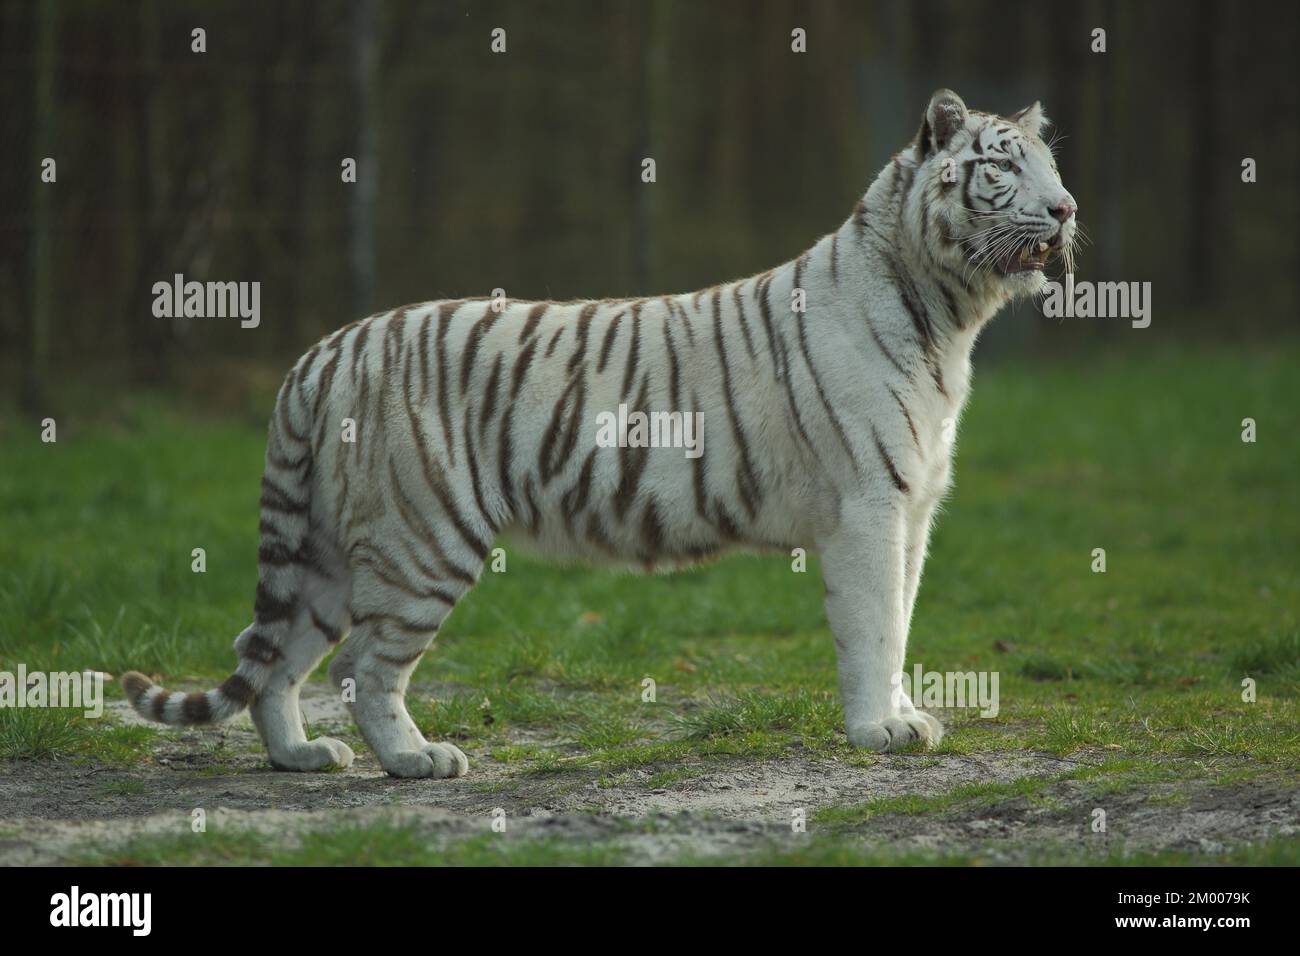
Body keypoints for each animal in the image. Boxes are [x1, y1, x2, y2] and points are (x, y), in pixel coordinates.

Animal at [122, 89, 1077, 778]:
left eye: (1051, 163)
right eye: (1002, 166)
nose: (1068, 209)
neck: (949, 317)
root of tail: (320, 354)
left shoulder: (913, 509)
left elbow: (903, 622)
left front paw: (905, 716)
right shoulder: (869, 507)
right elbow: (875, 627)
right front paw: (879, 732)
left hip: (325, 546)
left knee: (275, 660)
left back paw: (301, 757)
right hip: (421, 539)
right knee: (362, 665)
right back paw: (418, 760)